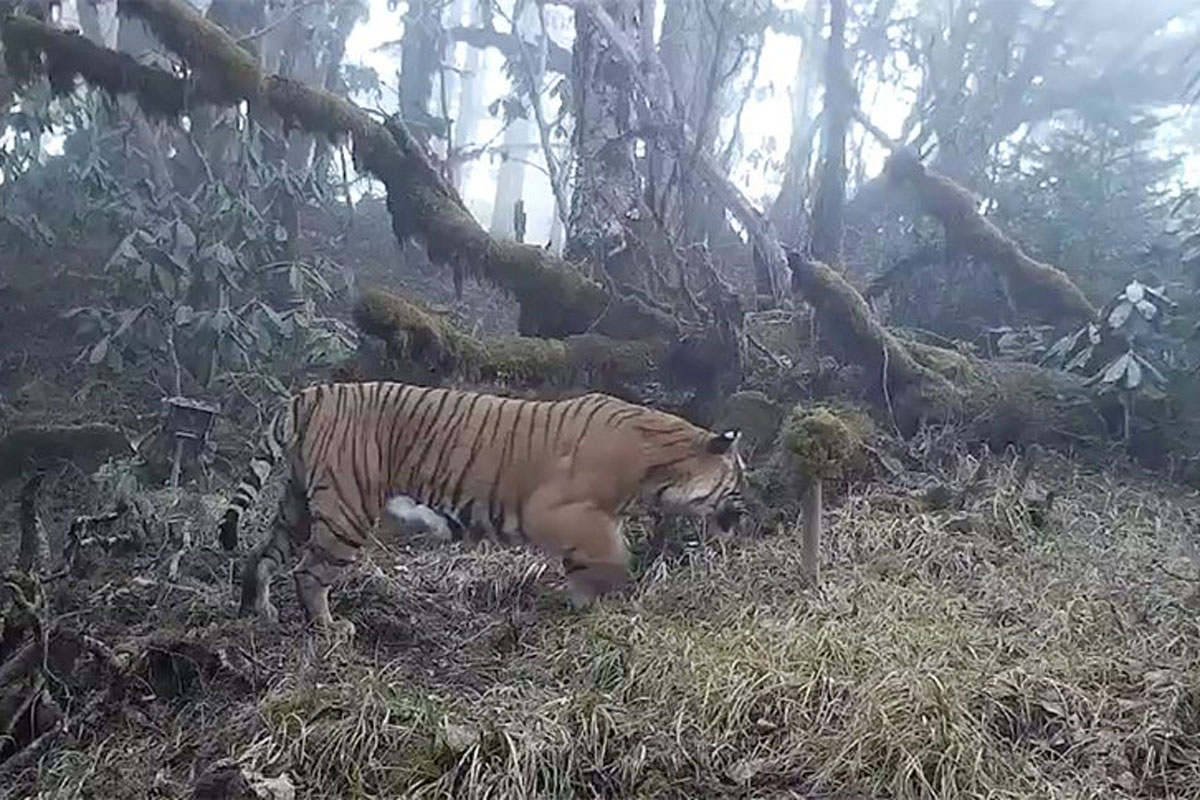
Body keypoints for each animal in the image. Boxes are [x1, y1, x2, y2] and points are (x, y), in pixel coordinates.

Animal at [218, 381, 746, 636]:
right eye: (739, 481)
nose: (747, 515)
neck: (657, 465)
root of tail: (316, 392)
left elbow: (586, 563)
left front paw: (589, 604)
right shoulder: (556, 510)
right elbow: (608, 551)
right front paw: (615, 592)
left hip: (299, 505)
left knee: (262, 556)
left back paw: (257, 613)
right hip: (346, 510)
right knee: (308, 573)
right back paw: (328, 629)